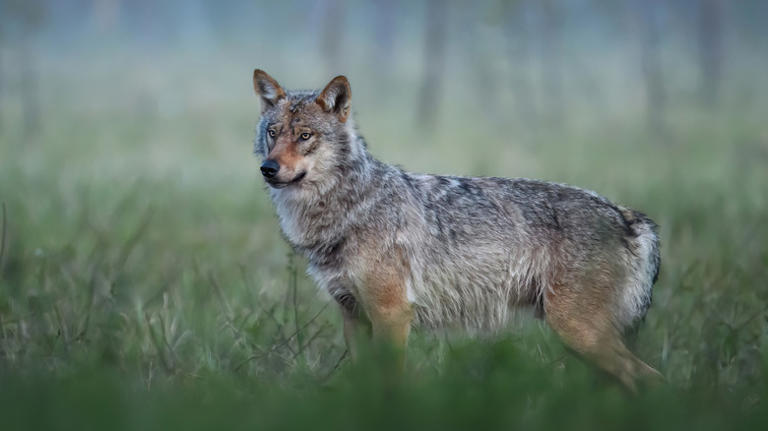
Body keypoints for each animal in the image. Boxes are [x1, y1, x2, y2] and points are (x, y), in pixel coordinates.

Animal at [251, 69, 662, 390]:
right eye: (273, 132)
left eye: (305, 136)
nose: (268, 169)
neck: (349, 208)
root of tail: (628, 216)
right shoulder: (353, 317)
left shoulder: (392, 314)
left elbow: (390, 383)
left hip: (579, 333)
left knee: (652, 378)